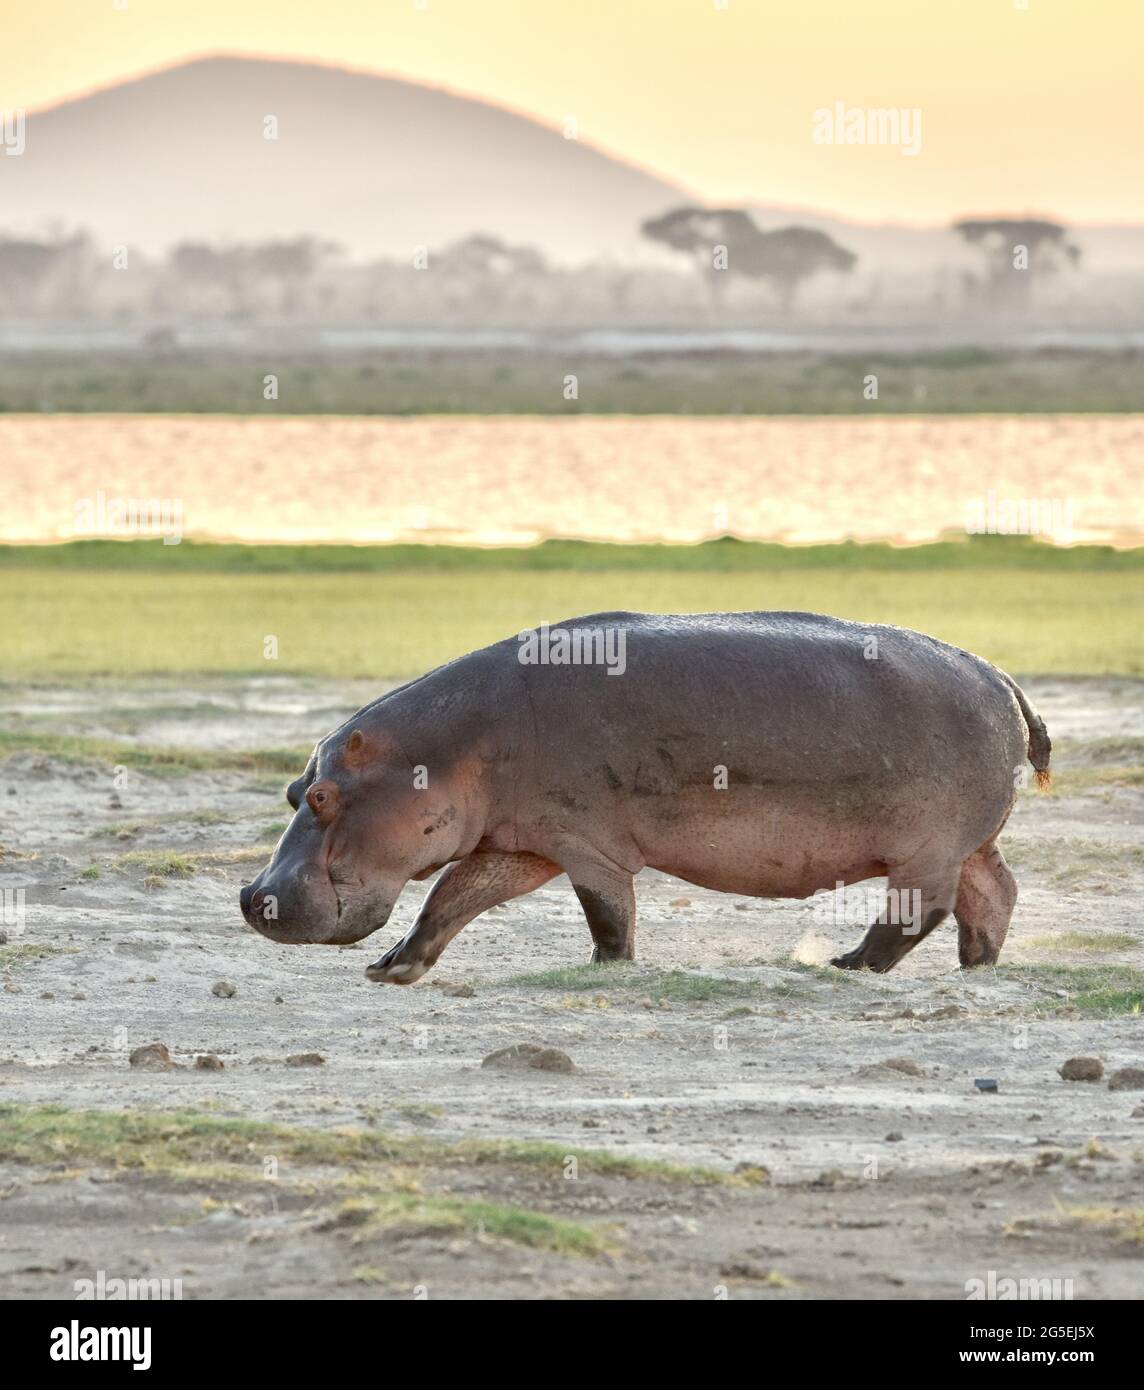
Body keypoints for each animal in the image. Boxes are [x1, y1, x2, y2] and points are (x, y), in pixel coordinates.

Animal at [239, 611, 1050, 980]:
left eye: (323, 797)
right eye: (293, 790)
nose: (254, 898)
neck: (449, 747)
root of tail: (1001, 675)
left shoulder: (589, 846)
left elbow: (607, 912)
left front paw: (611, 966)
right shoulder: (525, 842)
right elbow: (452, 897)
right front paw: (392, 968)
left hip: (926, 846)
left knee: (922, 908)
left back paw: (850, 964)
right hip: (970, 840)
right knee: (993, 893)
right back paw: (977, 965)